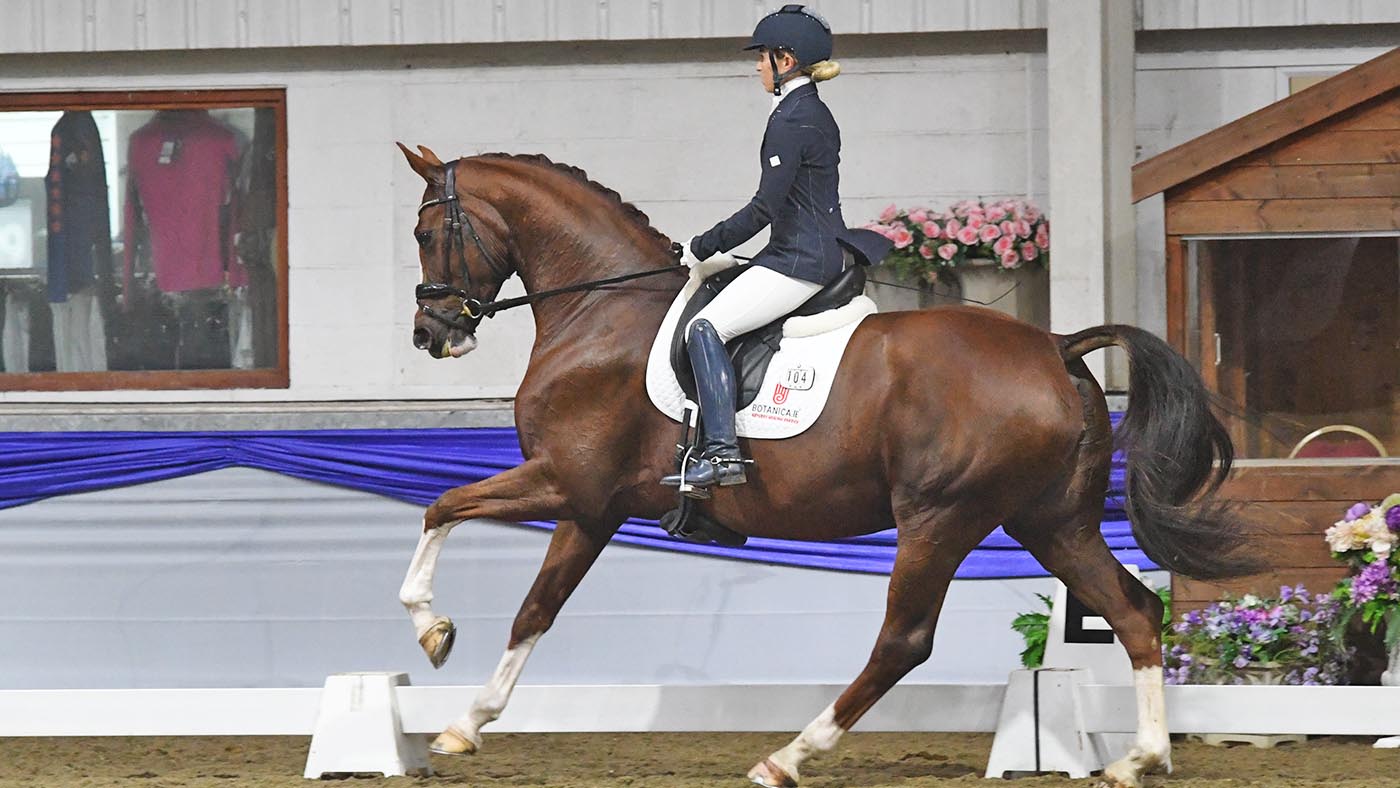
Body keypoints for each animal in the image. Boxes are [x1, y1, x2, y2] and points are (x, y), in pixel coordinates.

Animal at [394, 143, 1258, 788]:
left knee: (904, 641)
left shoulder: (565, 481)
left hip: (942, 518)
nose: (430, 334)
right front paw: (465, 724)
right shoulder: (592, 507)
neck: (601, 310)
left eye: (426, 231)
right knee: (1133, 612)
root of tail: (1056, 346)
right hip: (1051, 520)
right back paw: (1139, 759)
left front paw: (432, 631)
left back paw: (788, 756)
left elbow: (443, 506)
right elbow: (534, 610)